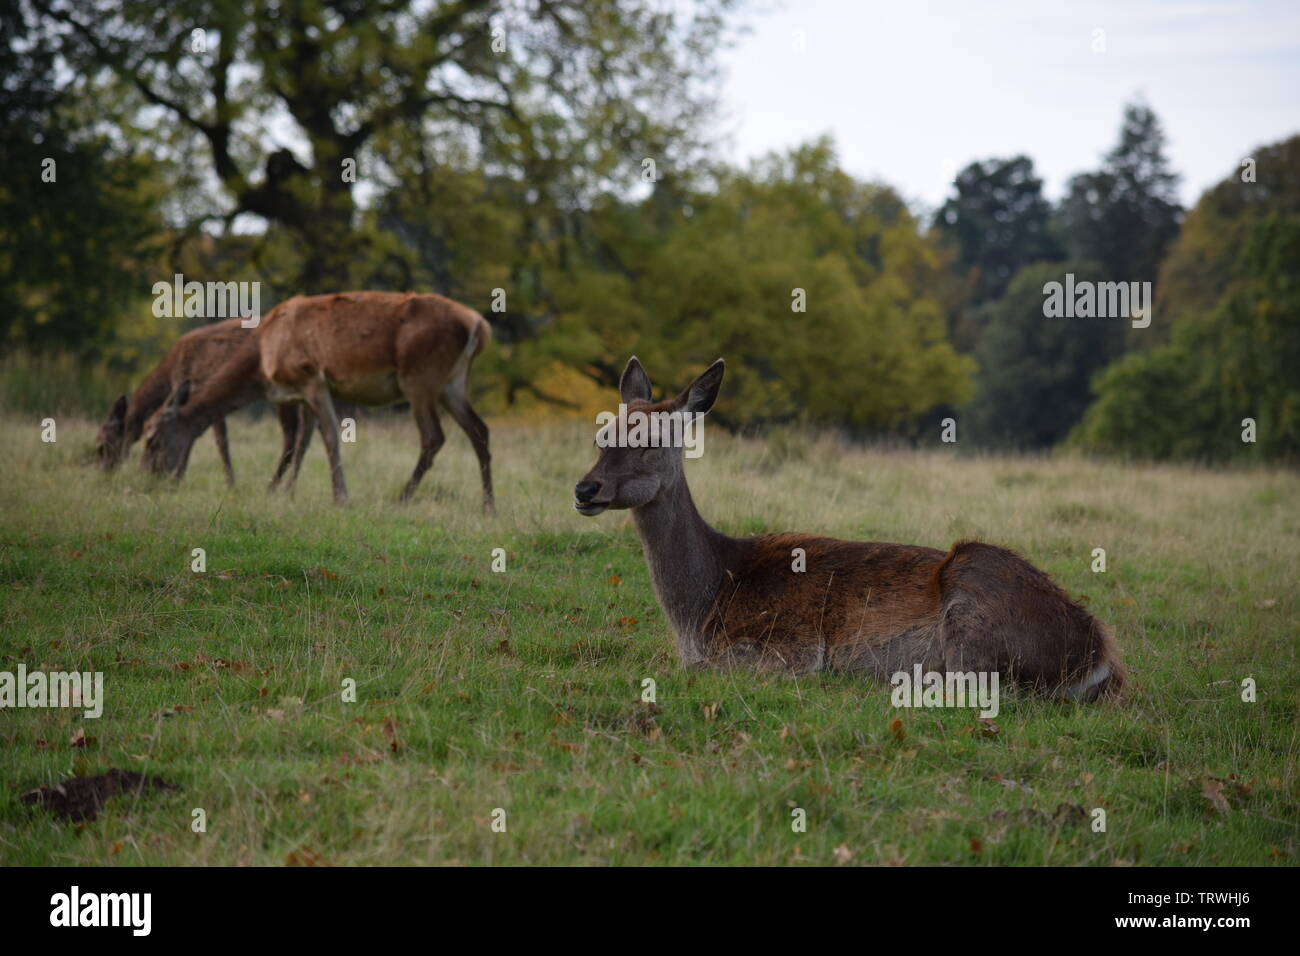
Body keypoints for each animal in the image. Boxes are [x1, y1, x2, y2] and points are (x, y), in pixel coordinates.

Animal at [96, 318, 309, 488]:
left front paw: (228, 485)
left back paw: (273, 486)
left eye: (102, 445)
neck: (171, 372)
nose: (104, 473)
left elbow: (218, 441)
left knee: (291, 438)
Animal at [142, 292, 494, 509]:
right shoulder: (300, 392)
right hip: (453, 383)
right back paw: (488, 506)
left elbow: (328, 437)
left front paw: (340, 498)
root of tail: (478, 325)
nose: (150, 479)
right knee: (480, 430)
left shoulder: (311, 377)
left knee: (433, 436)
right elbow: (303, 443)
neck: (261, 359)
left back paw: (403, 498)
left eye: (153, 438)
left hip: (420, 378)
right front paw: (284, 492)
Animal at [572, 357, 1124, 700]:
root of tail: (1098, 657)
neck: (701, 607)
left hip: (974, 606)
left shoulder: (790, 647)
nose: (585, 488)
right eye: (602, 433)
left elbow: (702, 668)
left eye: (652, 440)